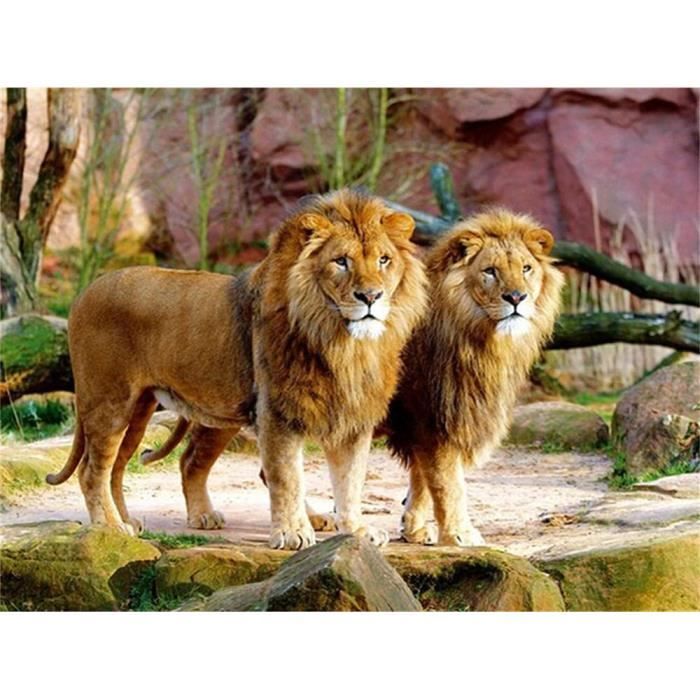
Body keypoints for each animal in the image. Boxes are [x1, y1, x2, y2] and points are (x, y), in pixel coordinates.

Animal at [46, 190, 428, 550]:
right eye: (341, 262)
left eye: (383, 260)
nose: (371, 296)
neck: (342, 342)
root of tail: (83, 293)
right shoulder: (278, 412)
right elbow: (287, 477)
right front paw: (292, 534)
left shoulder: (354, 416)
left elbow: (350, 481)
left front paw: (358, 531)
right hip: (109, 402)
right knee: (93, 471)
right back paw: (110, 528)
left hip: (142, 410)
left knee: (124, 467)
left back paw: (133, 522)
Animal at [383, 208, 565, 547]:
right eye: (490, 271)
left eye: (526, 268)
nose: (516, 298)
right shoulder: (436, 417)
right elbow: (448, 482)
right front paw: (460, 535)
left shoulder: (426, 422)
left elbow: (422, 478)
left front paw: (414, 529)